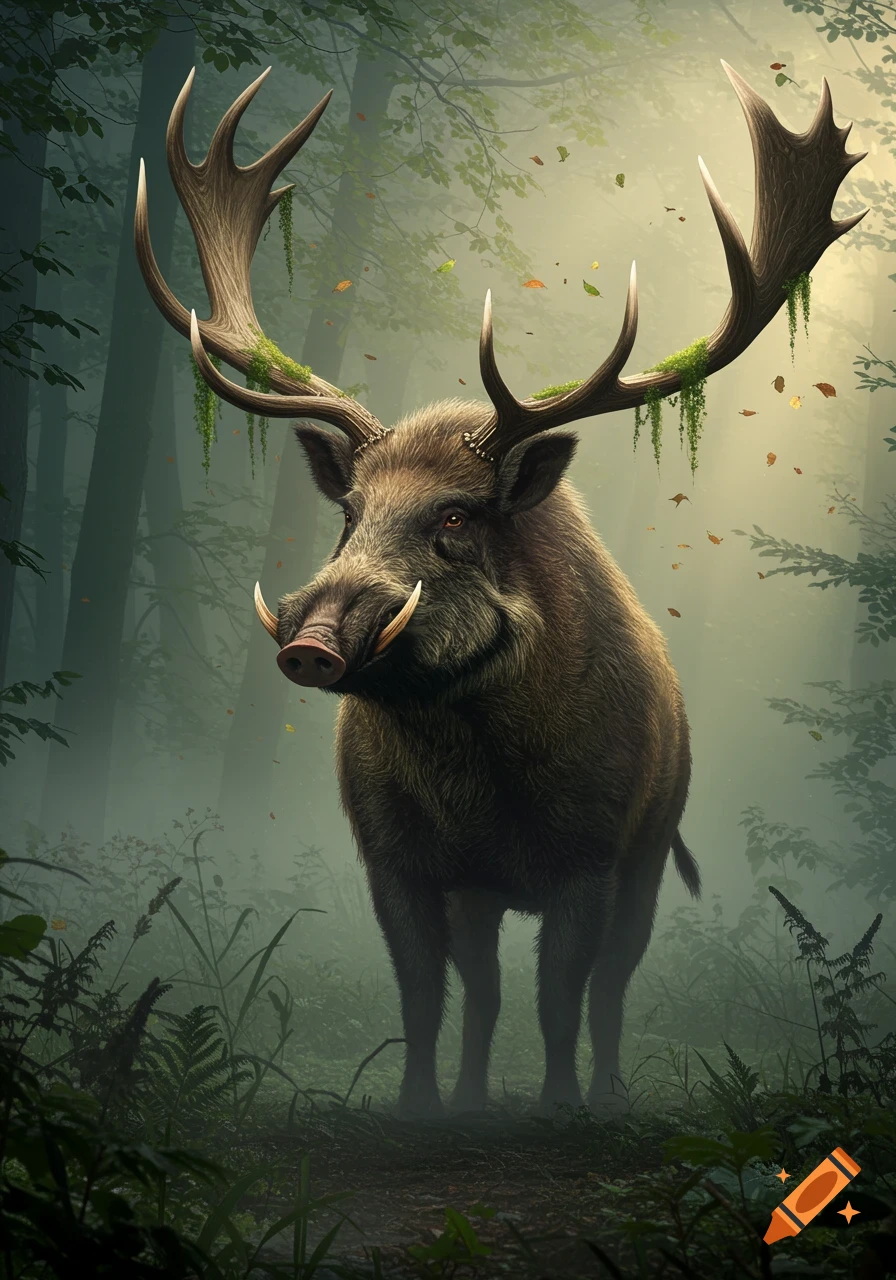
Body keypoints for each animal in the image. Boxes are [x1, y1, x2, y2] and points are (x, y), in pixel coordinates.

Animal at [135, 61, 865, 1118]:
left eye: (455, 518)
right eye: (349, 509)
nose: (311, 637)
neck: (479, 783)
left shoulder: (596, 852)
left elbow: (566, 993)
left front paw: (564, 1103)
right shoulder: (396, 857)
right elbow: (426, 992)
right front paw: (420, 1106)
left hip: (657, 844)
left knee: (612, 986)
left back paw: (605, 1090)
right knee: (481, 984)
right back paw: (476, 1095)